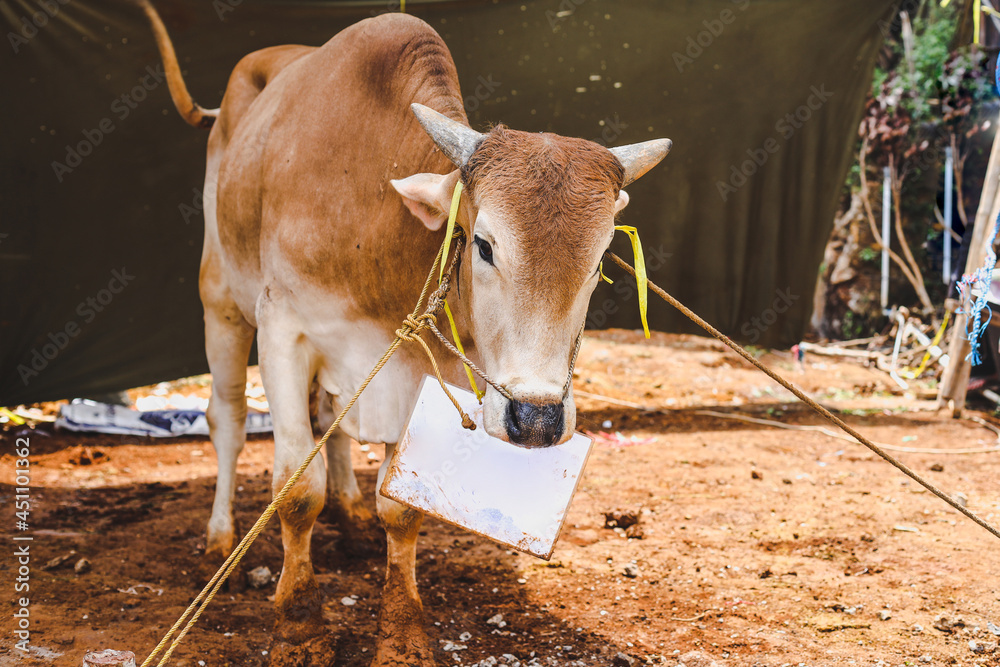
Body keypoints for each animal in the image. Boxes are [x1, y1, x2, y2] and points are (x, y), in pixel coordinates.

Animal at [140, 2, 670, 664]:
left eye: (599, 260)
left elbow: (399, 508)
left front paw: (402, 634)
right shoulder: (283, 330)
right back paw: (219, 541)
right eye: (484, 245)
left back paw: (351, 519)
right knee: (229, 421)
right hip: (222, 303)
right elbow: (297, 488)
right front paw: (298, 626)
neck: (372, 218)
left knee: (328, 421)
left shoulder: (421, 365)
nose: (537, 419)